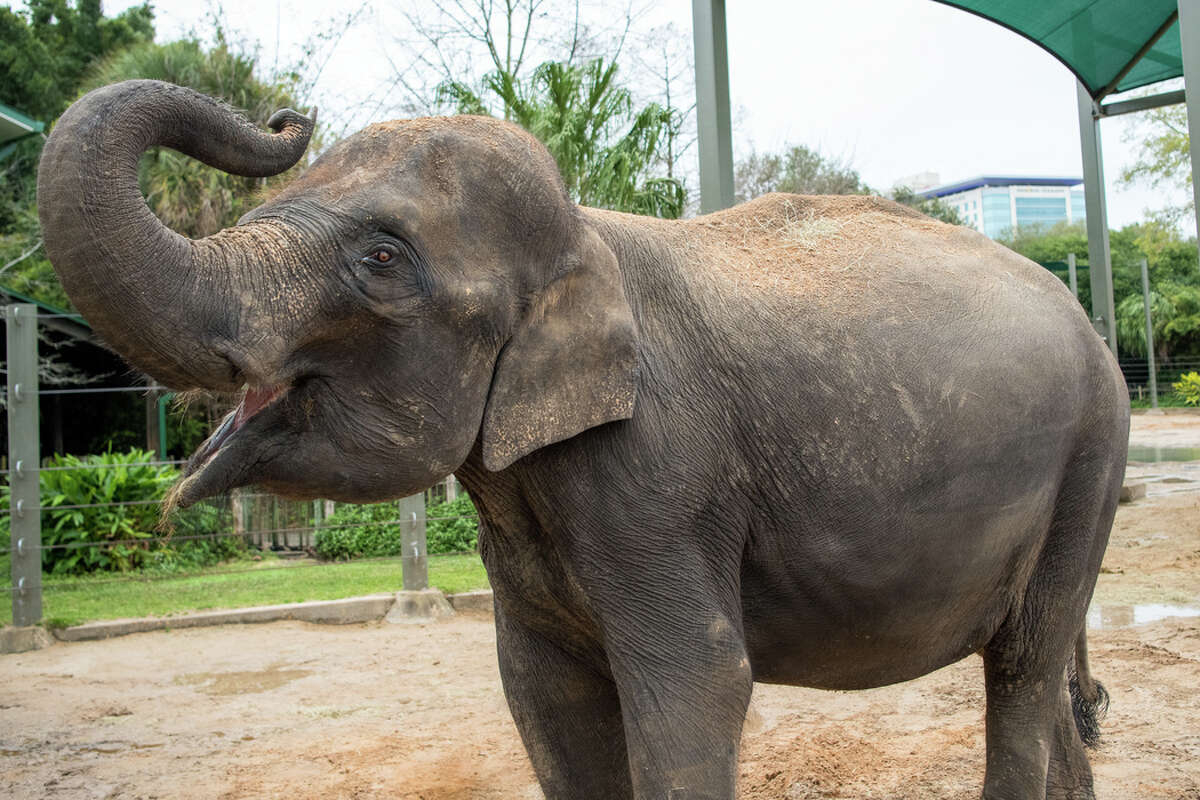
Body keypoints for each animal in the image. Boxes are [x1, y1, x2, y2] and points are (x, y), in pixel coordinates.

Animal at [38, 80, 1127, 800]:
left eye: (381, 259)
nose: (283, 115)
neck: (583, 236)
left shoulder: (660, 473)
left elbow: (696, 684)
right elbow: (545, 697)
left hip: (1092, 456)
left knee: (1022, 660)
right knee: (1032, 670)